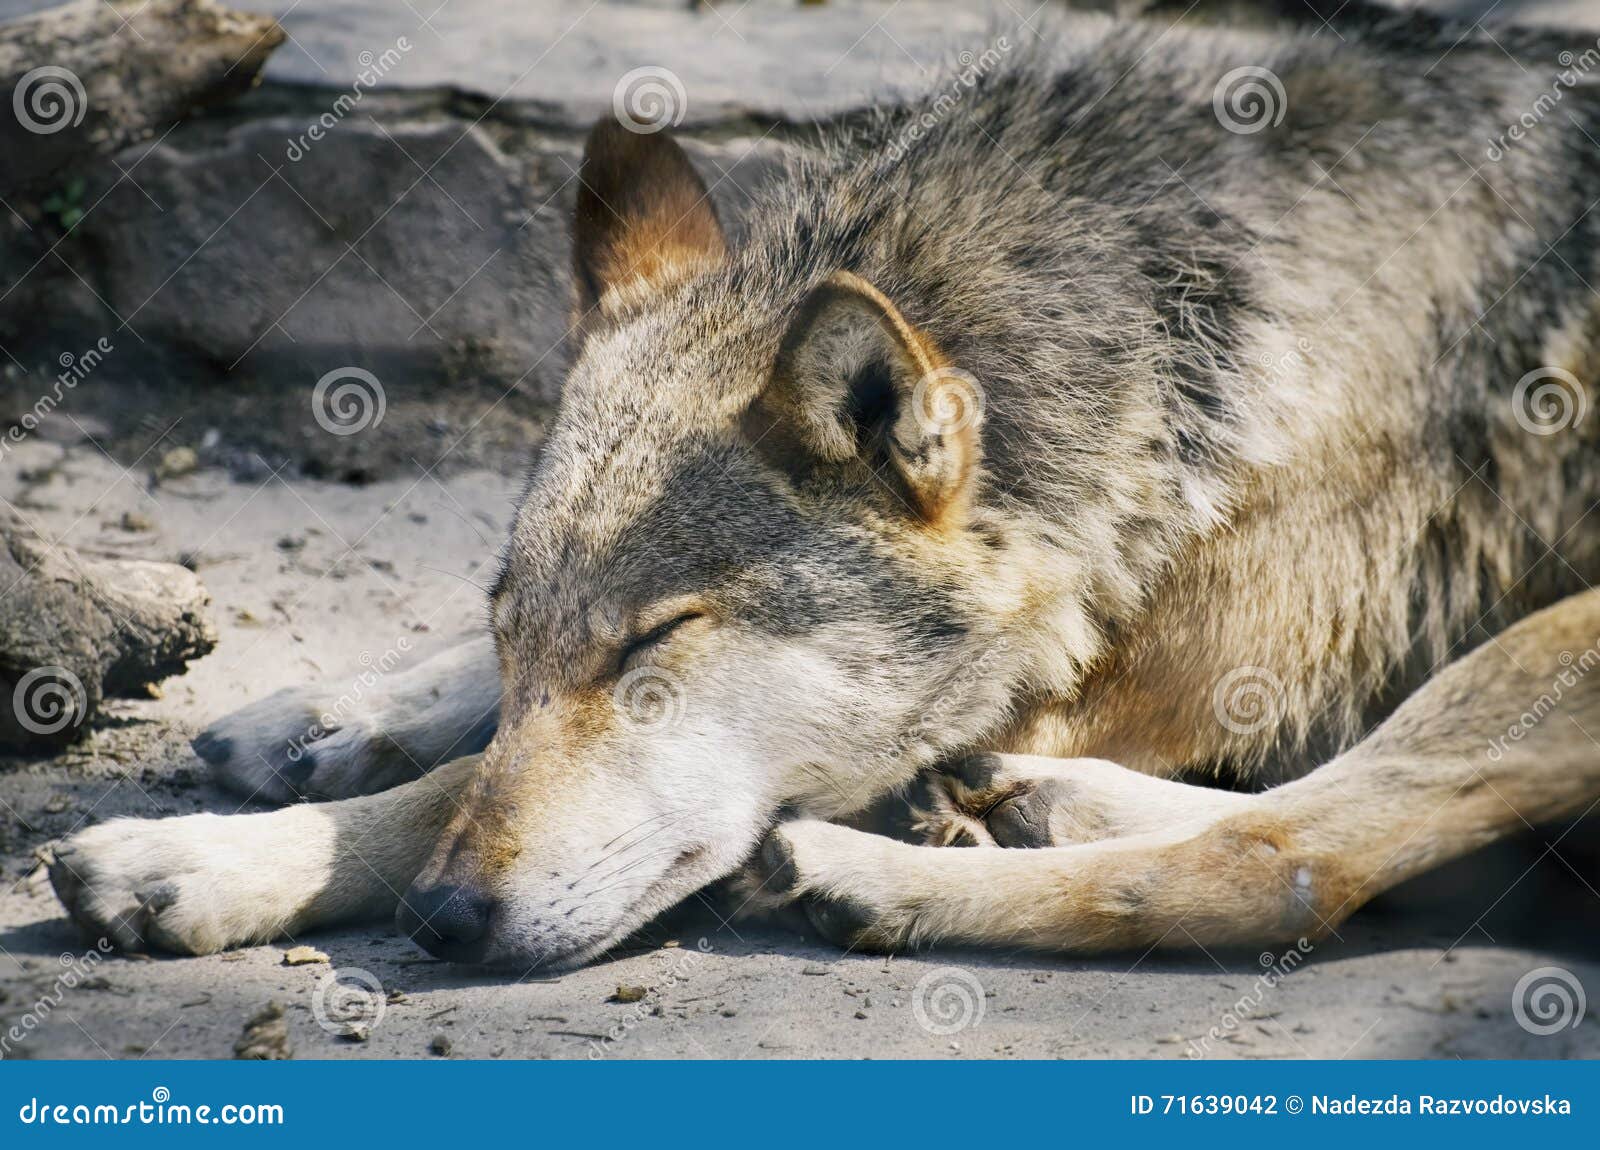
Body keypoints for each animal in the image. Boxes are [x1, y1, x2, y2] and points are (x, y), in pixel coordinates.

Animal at [48, 1, 1600, 968]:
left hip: (1550, 642)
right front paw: (326, 714)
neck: (1170, 338)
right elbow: (471, 724)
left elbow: (449, 799)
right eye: (510, 622)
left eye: (660, 643)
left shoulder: (1100, 678)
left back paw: (890, 871)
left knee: (1288, 862)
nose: (438, 928)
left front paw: (199, 863)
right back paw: (1025, 801)